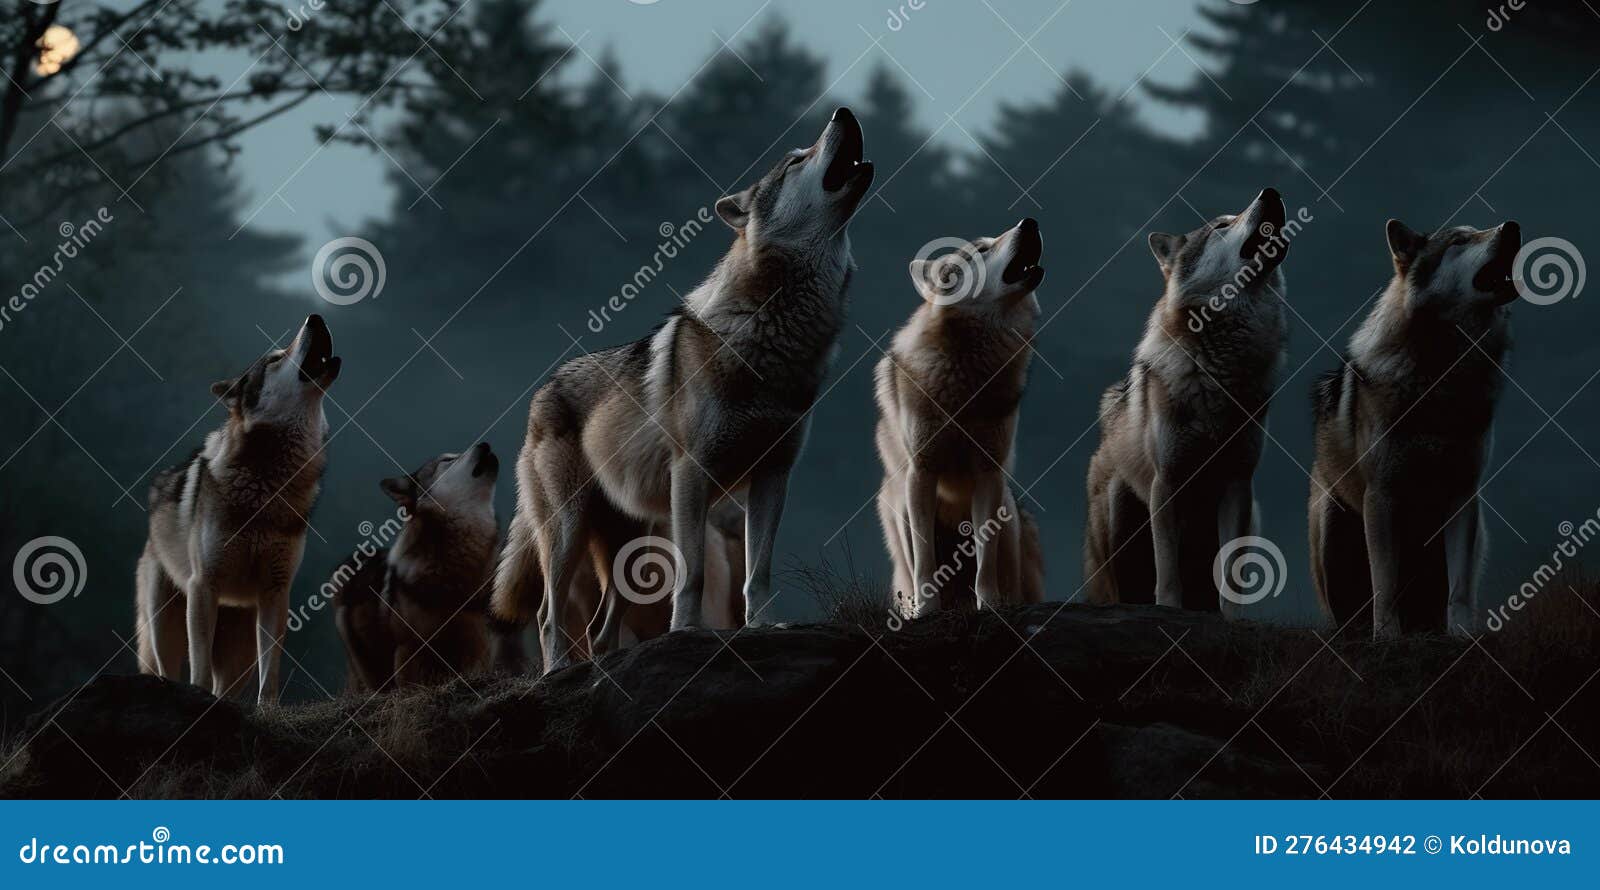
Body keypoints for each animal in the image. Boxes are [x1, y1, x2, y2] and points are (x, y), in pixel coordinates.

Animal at [134, 314, 341, 703]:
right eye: (275, 359)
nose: (316, 318)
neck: (265, 485)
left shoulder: (276, 593)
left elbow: (270, 674)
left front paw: (268, 710)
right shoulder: (203, 587)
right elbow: (198, 670)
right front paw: (198, 700)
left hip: (239, 654)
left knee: (225, 687)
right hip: (165, 628)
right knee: (169, 671)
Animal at [494, 108, 872, 672]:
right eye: (795, 160)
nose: (842, 113)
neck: (773, 338)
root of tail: (541, 390)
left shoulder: (773, 478)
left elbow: (757, 573)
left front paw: (763, 627)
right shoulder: (691, 476)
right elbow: (692, 573)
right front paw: (687, 634)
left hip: (631, 538)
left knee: (600, 628)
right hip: (568, 529)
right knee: (545, 613)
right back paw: (557, 670)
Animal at [874, 218, 1048, 617]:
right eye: (981, 249)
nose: (1029, 222)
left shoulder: (988, 474)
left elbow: (985, 559)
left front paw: (991, 605)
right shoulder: (921, 474)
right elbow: (925, 561)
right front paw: (926, 610)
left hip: (1007, 513)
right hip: (897, 508)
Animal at [1084, 189, 1290, 610]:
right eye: (1222, 225)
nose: (1272, 192)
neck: (1222, 365)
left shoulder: (1238, 484)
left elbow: (1229, 578)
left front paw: (1230, 619)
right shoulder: (1168, 483)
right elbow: (1167, 572)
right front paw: (1169, 611)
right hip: (1117, 507)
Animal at [1310, 219, 1520, 639]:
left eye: (1478, 231)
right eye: (1460, 241)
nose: (1512, 226)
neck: (1443, 378)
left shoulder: (1463, 496)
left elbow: (1459, 589)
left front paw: (1462, 636)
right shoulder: (1381, 496)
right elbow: (1385, 583)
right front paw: (1388, 637)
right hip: (1331, 521)